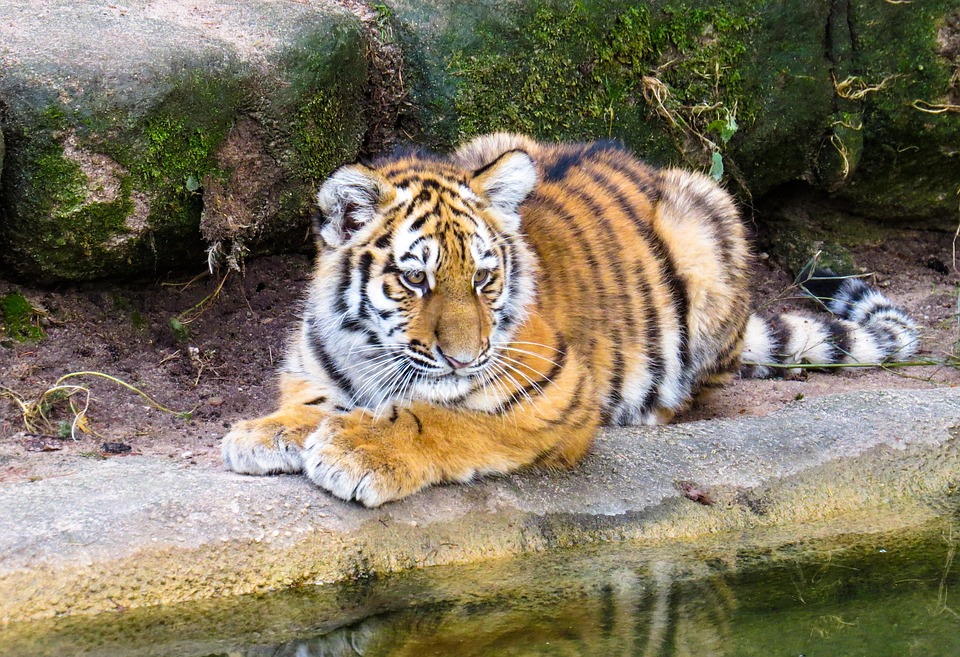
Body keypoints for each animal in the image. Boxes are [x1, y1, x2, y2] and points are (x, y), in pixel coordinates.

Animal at [221, 133, 919, 507]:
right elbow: (312, 402)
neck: (372, 356)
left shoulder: (552, 396)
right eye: (415, 279)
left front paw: (359, 450)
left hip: (705, 213)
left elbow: (445, 419)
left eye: (483, 277)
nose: (464, 357)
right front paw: (266, 432)